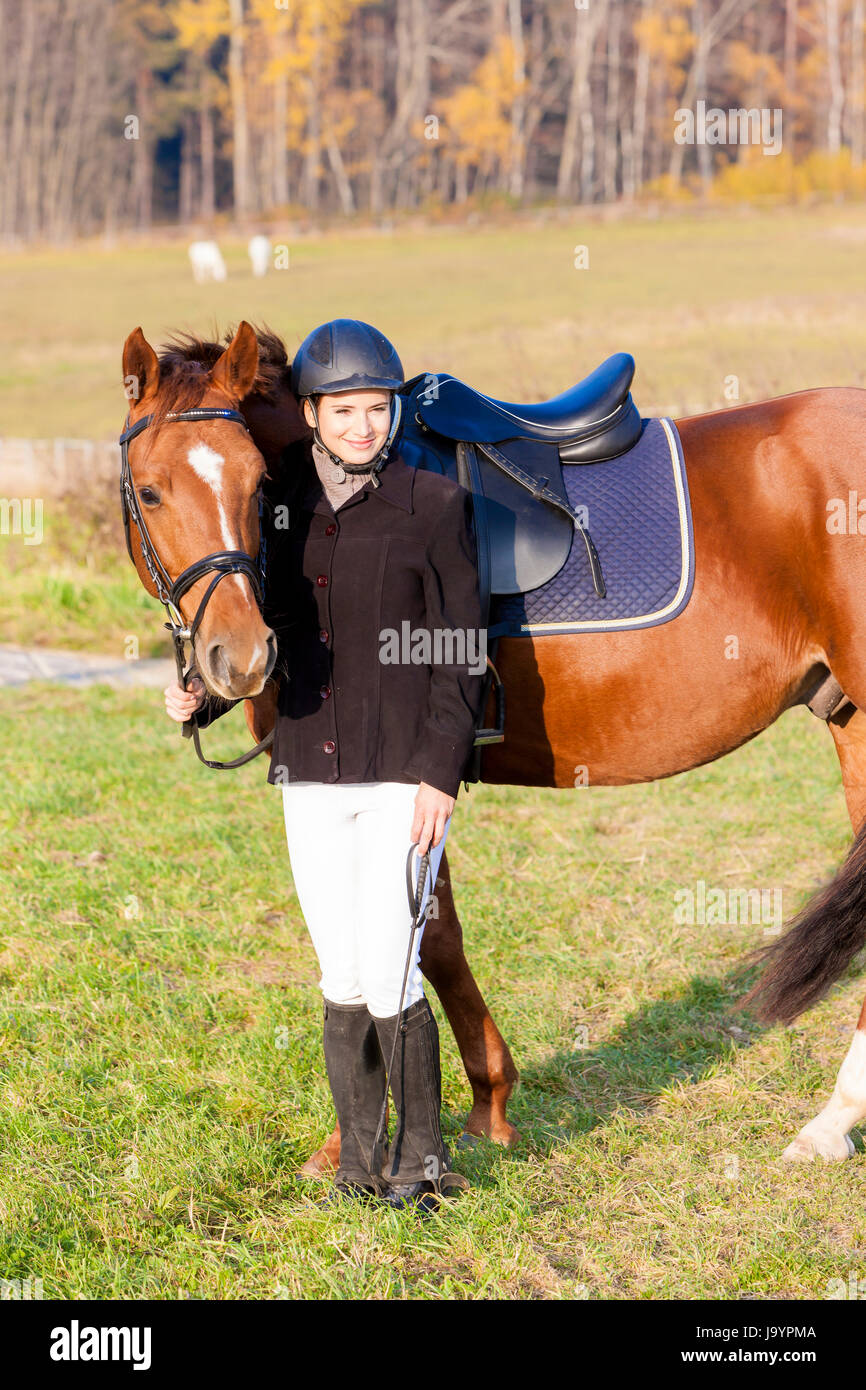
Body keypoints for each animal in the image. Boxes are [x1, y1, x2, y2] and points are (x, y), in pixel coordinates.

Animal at [120, 321, 866, 1175]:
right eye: (151, 491)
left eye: (252, 485)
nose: (239, 657)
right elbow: (423, 929)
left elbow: (416, 934)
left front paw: (440, 1115)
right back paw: (834, 1119)